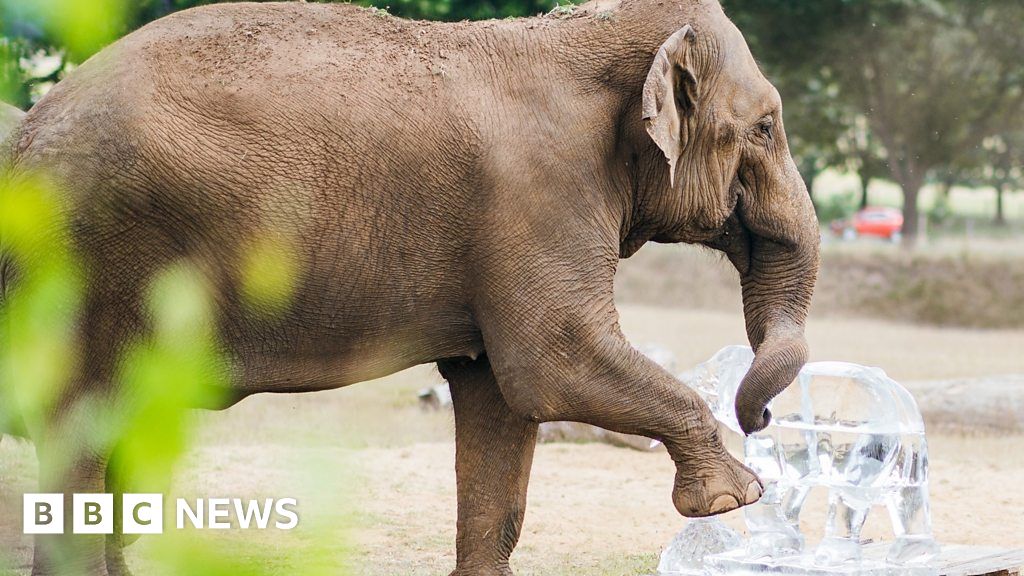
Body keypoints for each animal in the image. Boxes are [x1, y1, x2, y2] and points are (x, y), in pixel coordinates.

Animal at [0, 0, 820, 574]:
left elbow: (500, 397)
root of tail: (28, 130)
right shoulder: (540, 197)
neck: (588, 31)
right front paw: (735, 496)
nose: (760, 417)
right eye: (766, 128)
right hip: (85, 256)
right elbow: (552, 364)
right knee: (83, 425)